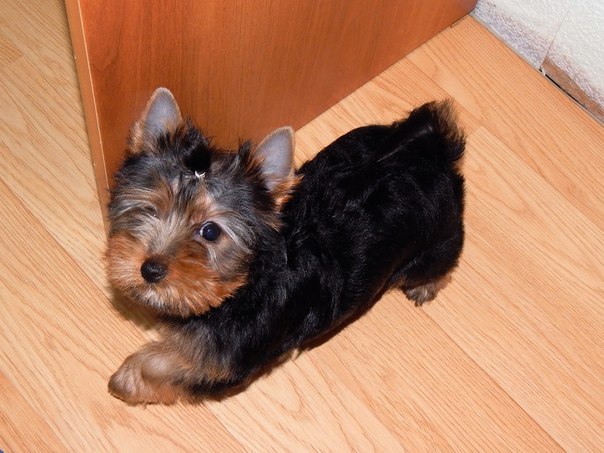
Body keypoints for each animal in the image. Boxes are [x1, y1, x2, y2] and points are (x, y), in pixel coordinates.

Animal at [106, 88, 465, 405]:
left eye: (210, 231)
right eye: (150, 209)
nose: (150, 270)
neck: (244, 285)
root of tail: (430, 149)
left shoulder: (227, 359)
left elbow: (172, 366)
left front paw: (127, 378)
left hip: (437, 241)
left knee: (440, 262)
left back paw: (426, 285)